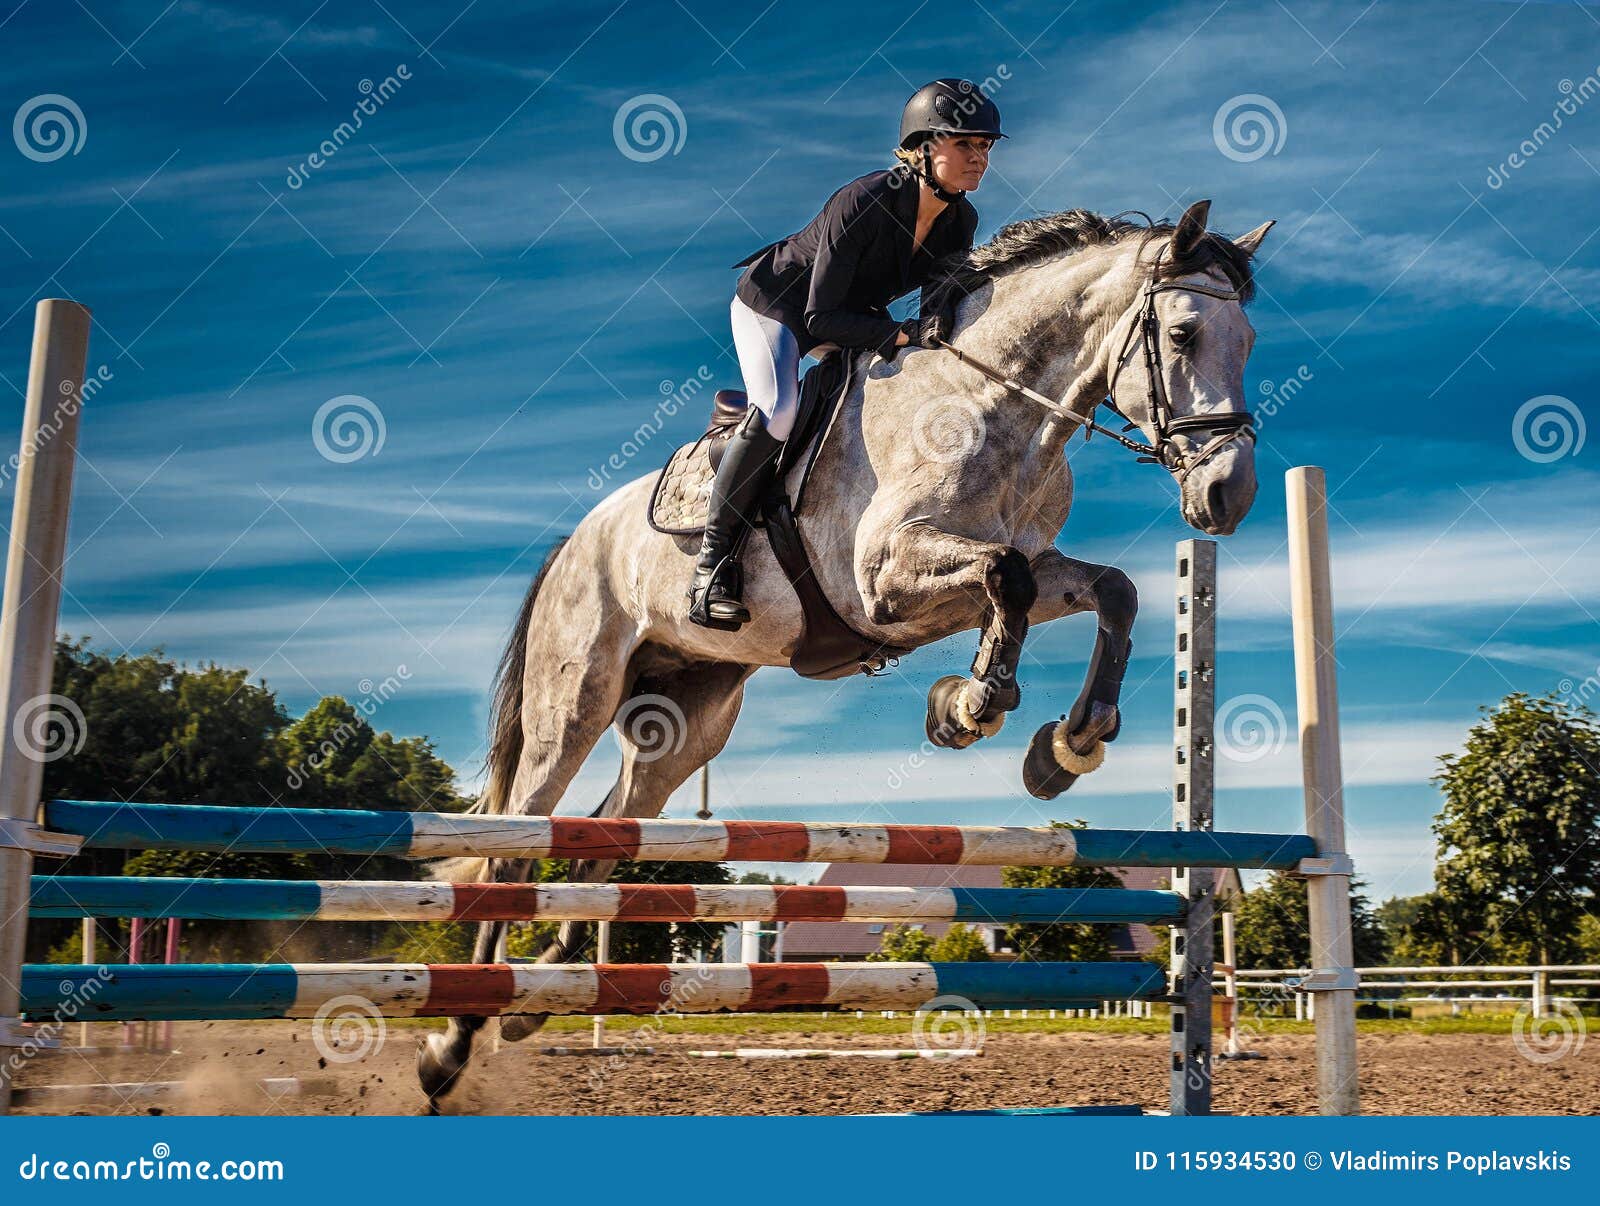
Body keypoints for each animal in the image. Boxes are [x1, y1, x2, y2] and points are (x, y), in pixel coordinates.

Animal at [416, 198, 1272, 1107]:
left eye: (1249, 338)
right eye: (1182, 333)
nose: (1229, 495)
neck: (995, 405)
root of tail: (575, 541)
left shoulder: (1024, 570)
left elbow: (1108, 590)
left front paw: (1066, 745)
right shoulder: (883, 578)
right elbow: (1001, 578)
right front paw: (969, 705)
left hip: (685, 721)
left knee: (606, 831)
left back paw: (534, 998)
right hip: (574, 698)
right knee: (517, 846)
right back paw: (455, 1040)